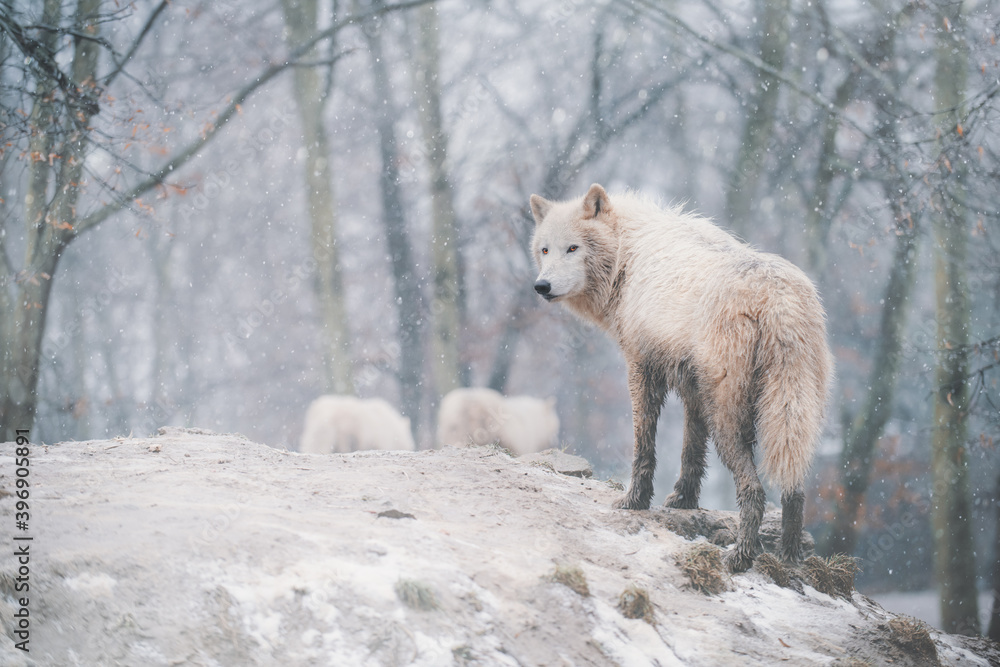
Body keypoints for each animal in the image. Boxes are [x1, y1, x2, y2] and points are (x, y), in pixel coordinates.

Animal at [530, 184, 832, 572]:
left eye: (573, 248)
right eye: (545, 249)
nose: (542, 286)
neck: (627, 256)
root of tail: (779, 299)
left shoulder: (641, 368)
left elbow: (644, 445)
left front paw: (634, 501)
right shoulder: (692, 387)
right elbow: (691, 449)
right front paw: (684, 500)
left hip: (728, 418)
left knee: (754, 489)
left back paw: (740, 557)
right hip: (791, 415)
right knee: (795, 487)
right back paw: (791, 559)